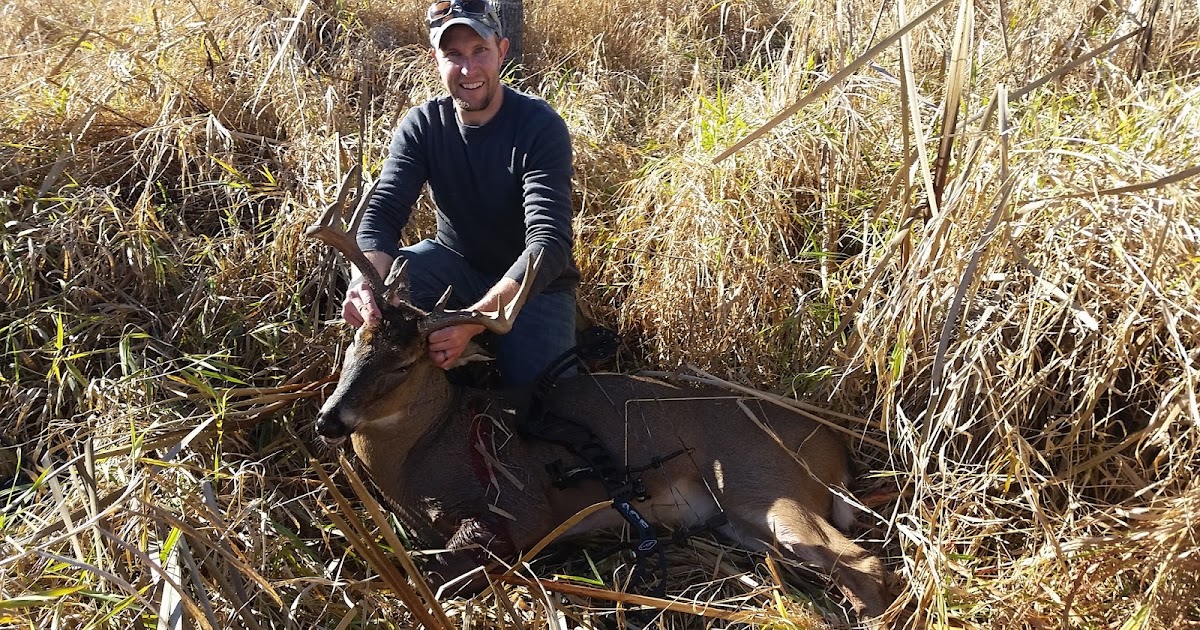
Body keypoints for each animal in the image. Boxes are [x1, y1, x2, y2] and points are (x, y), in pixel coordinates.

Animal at [306, 189, 894, 623]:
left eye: (404, 365)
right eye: (355, 343)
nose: (329, 419)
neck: (421, 455)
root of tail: (836, 452)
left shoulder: (519, 508)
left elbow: (435, 570)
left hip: (764, 482)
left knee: (863, 559)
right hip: (742, 522)